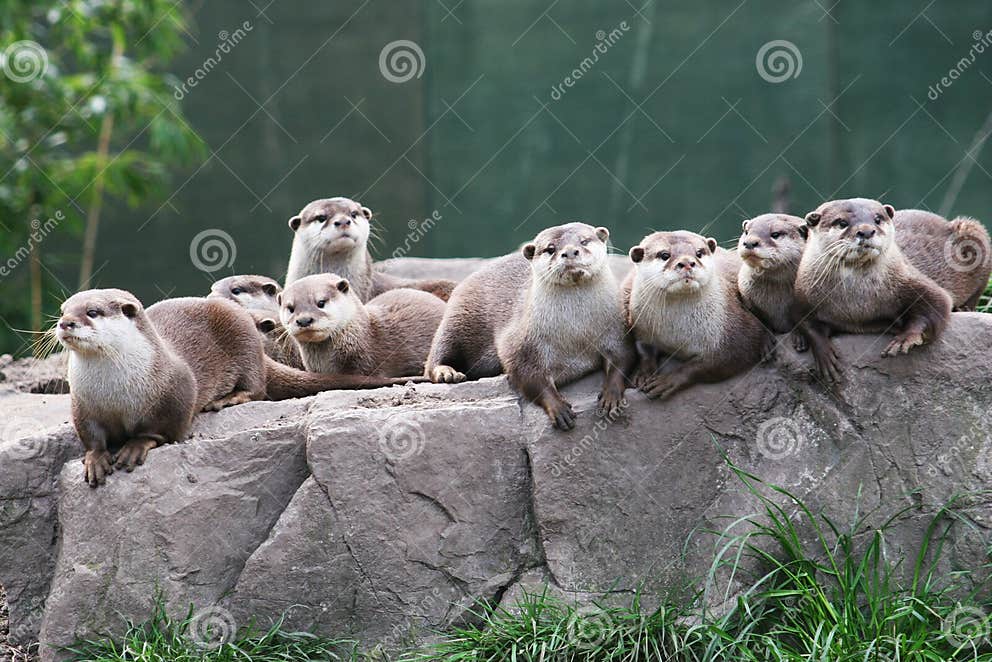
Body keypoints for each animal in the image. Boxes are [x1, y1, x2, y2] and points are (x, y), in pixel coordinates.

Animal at [56, 290, 423, 487]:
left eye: (92, 312)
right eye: (63, 309)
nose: (64, 323)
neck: (116, 390)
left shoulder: (177, 389)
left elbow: (164, 429)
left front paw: (135, 445)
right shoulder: (83, 405)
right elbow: (91, 436)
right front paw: (95, 459)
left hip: (243, 337)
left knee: (257, 387)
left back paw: (229, 398)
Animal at [425, 222, 633, 430]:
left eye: (584, 241)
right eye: (550, 248)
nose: (569, 252)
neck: (576, 332)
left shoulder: (616, 329)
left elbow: (622, 358)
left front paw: (611, 395)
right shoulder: (524, 344)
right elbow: (528, 375)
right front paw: (558, 407)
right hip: (458, 318)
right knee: (436, 356)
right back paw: (447, 373)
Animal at [623, 231, 770, 400]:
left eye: (699, 253)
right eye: (664, 254)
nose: (687, 262)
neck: (674, 334)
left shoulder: (735, 332)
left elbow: (714, 362)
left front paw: (667, 381)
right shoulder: (640, 325)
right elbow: (644, 349)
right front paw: (644, 374)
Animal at [737, 213, 809, 350]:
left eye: (775, 234)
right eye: (747, 232)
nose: (749, 243)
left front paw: (800, 336)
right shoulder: (747, 299)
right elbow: (760, 321)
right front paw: (765, 342)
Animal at [794, 198, 953, 382]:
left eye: (877, 219)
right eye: (842, 222)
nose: (866, 231)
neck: (857, 303)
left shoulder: (910, 279)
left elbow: (936, 304)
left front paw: (906, 337)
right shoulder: (803, 296)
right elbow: (806, 323)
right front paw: (824, 353)